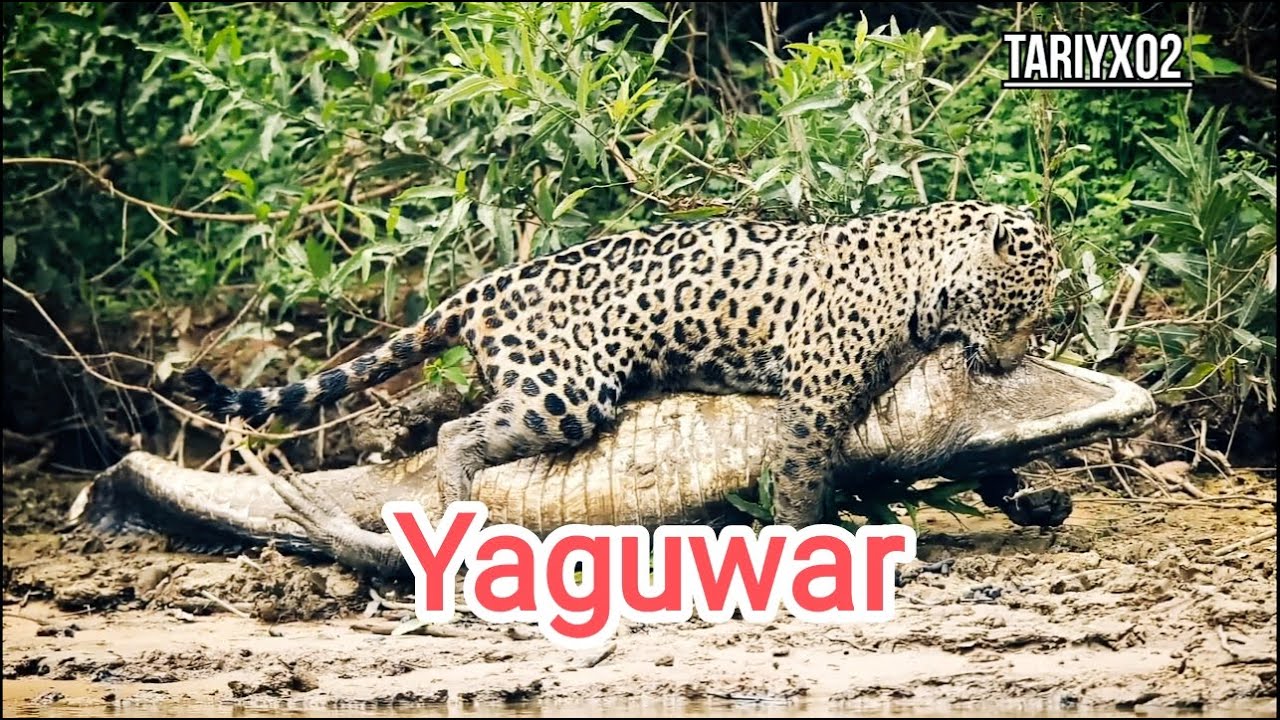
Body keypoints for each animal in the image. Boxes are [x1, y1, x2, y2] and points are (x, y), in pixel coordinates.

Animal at [184, 200, 1059, 527]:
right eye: (1019, 315)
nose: (1014, 361)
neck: (925, 282)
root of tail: (478, 288)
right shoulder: (813, 400)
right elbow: (804, 478)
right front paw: (800, 538)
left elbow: (980, 456)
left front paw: (1031, 500)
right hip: (565, 391)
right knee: (455, 434)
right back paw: (458, 506)